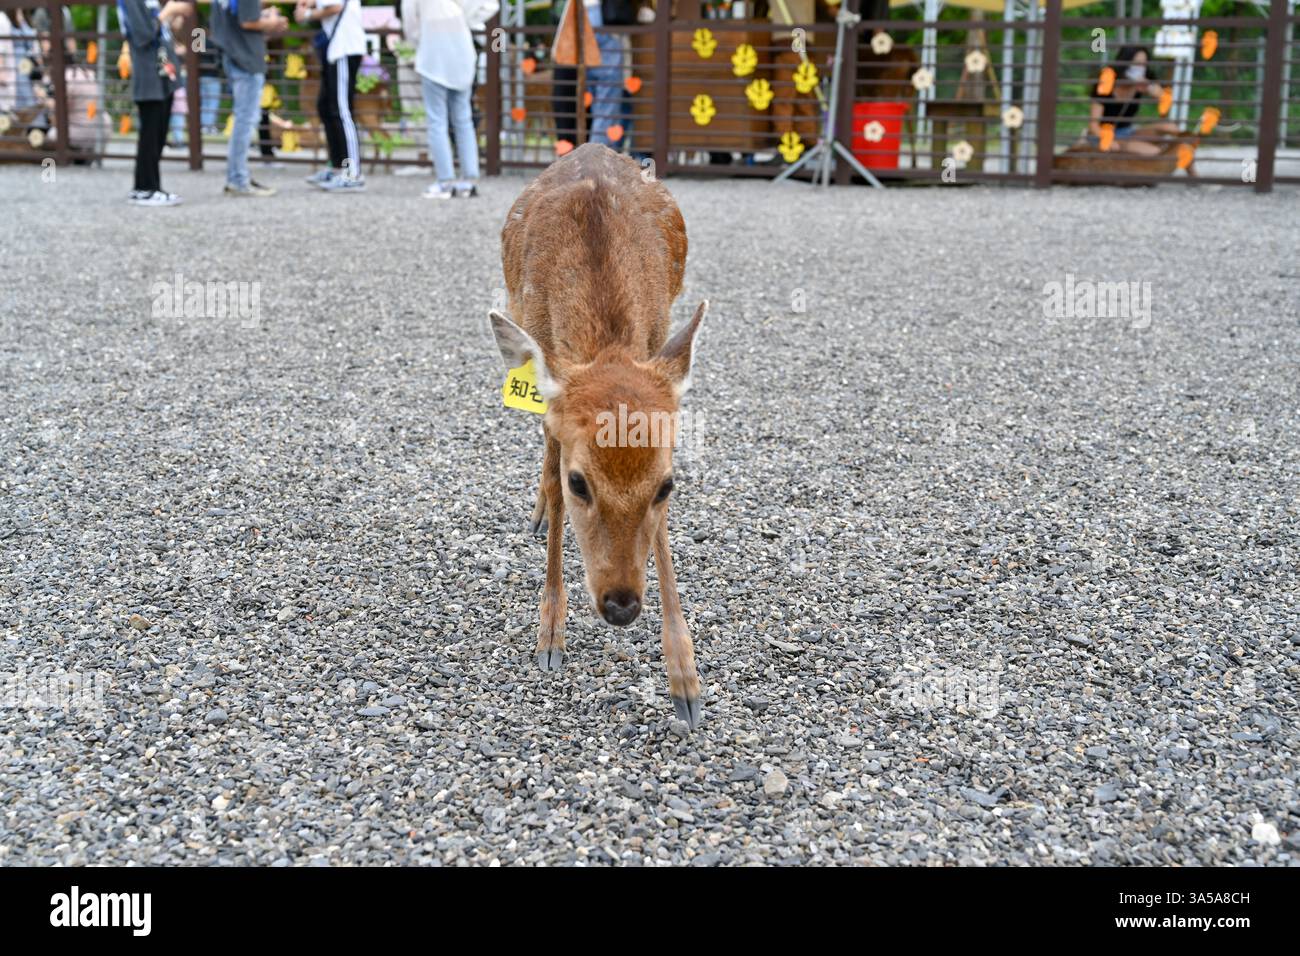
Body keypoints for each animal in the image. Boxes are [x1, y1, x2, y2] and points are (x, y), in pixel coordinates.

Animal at [488, 143, 707, 730]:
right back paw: (539, 513)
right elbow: (553, 475)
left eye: (666, 486)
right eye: (580, 483)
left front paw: (686, 682)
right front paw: (549, 637)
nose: (621, 603)